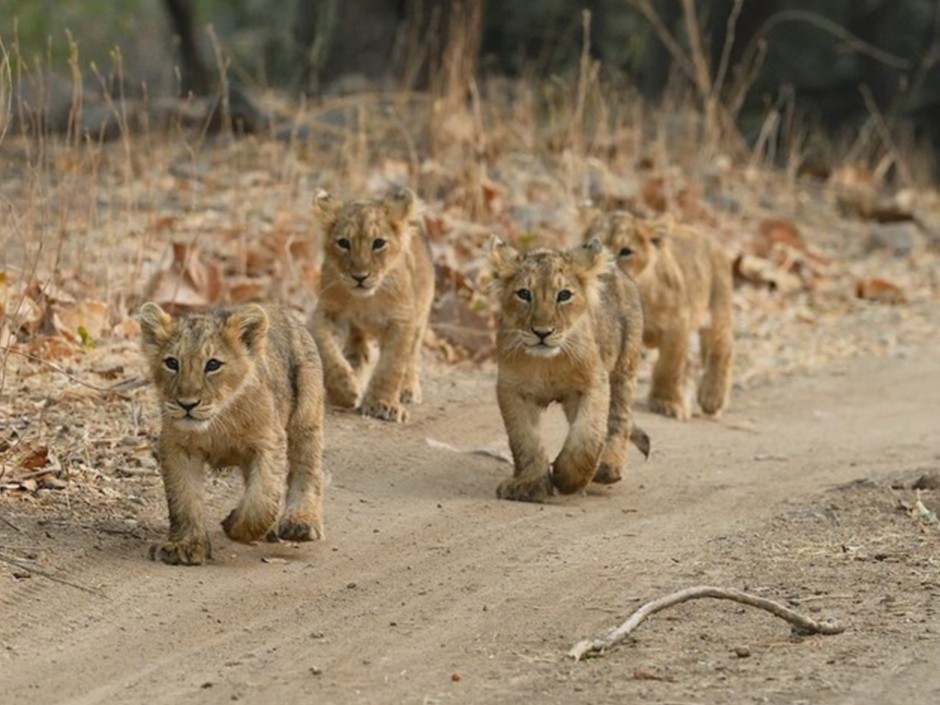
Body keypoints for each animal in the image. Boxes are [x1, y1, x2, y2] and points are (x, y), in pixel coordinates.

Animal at [138, 302, 325, 566]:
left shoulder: (269, 442)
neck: (219, 420)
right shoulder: (177, 447)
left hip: (306, 418)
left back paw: (300, 522)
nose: (187, 404)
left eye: (213, 364)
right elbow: (184, 499)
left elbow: (262, 499)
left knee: (307, 469)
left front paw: (235, 526)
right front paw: (186, 546)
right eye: (172, 363)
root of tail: (280, 308)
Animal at [310, 187, 435, 423]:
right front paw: (344, 390)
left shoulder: (402, 319)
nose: (360, 277)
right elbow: (326, 349)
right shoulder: (326, 312)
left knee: (412, 355)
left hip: (421, 315)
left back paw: (407, 390)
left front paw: (383, 404)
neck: (366, 301)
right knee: (360, 351)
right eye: (343, 243)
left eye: (378, 243)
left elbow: (392, 365)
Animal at [488, 237, 650, 502]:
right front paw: (529, 484)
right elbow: (525, 439)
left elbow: (587, 434)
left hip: (624, 368)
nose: (542, 332)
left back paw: (607, 467)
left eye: (563, 295)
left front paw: (567, 477)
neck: (547, 364)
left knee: (618, 420)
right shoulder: (512, 389)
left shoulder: (594, 383)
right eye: (524, 294)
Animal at [581, 209, 734, 420]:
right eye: (590, 247)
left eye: (626, 251)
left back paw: (712, 398)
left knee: (722, 348)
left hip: (717, 311)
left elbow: (669, 366)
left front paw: (666, 403)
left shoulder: (677, 325)